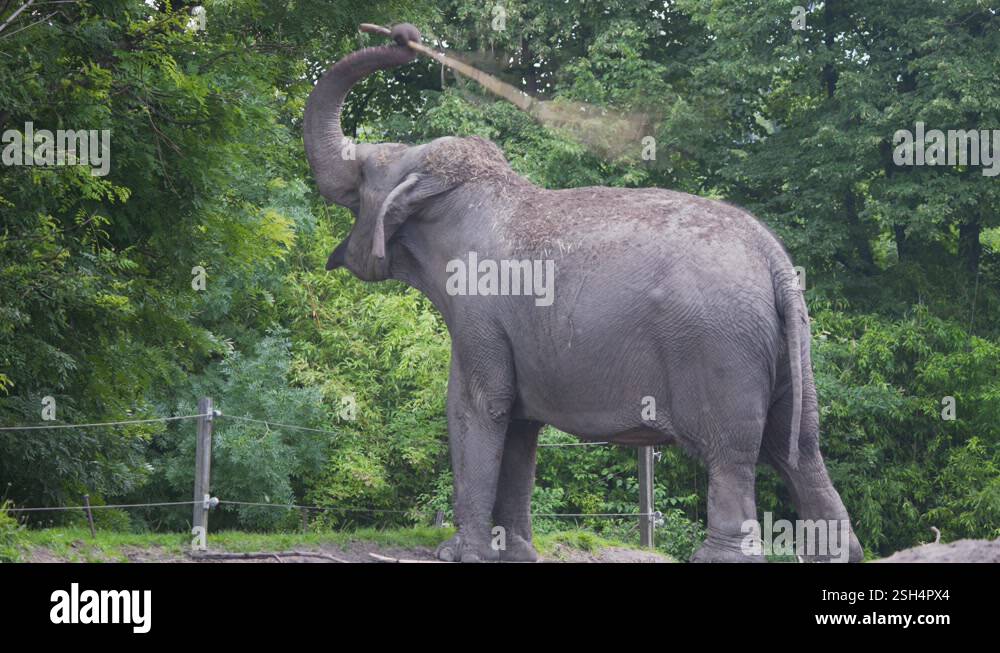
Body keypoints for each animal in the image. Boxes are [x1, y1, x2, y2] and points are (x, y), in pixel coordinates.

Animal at [304, 23, 863, 563]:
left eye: (365, 170)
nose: (405, 36)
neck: (478, 194)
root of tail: (775, 260)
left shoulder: (478, 310)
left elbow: (476, 406)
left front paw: (458, 554)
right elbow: (520, 425)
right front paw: (516, 553)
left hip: (720, 349)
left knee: (732, 452)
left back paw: (718, 556)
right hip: (789, 347)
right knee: (800, 448)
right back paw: (840, 553)